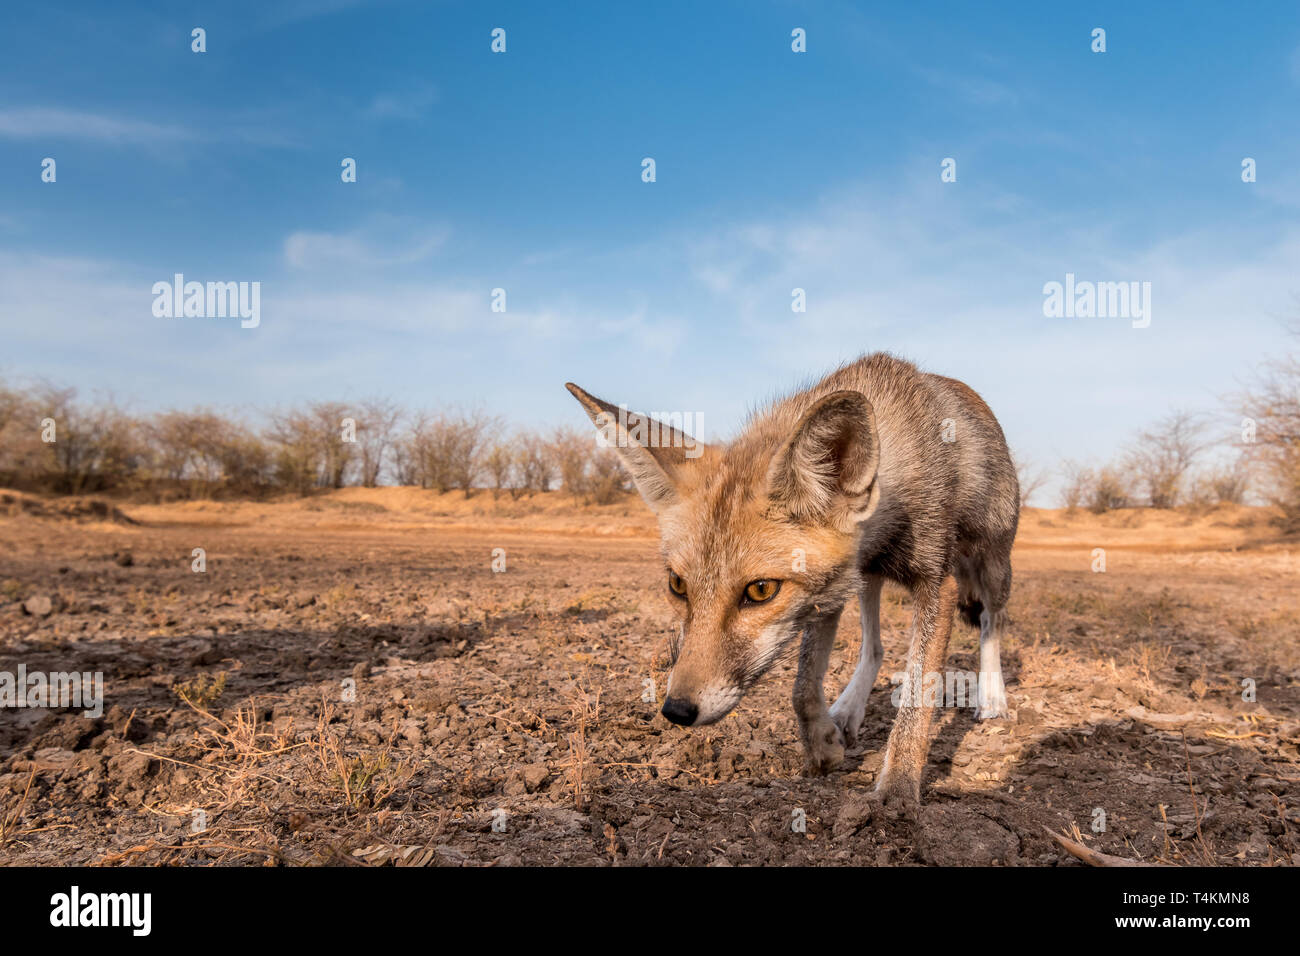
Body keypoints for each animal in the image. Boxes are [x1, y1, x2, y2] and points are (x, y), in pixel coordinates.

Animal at [566, 352, 1019, 814]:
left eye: (760, 591)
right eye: (678, 585)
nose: (676, 710)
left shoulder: (935, 582)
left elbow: (917, 697)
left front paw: (896, 790)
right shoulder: (830, 589)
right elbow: (802, 687)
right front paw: (822, 744)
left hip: (992, 567)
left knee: (992, 623)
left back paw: (992, 698)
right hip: (865, 584)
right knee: (874, 647)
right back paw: (849, 709)